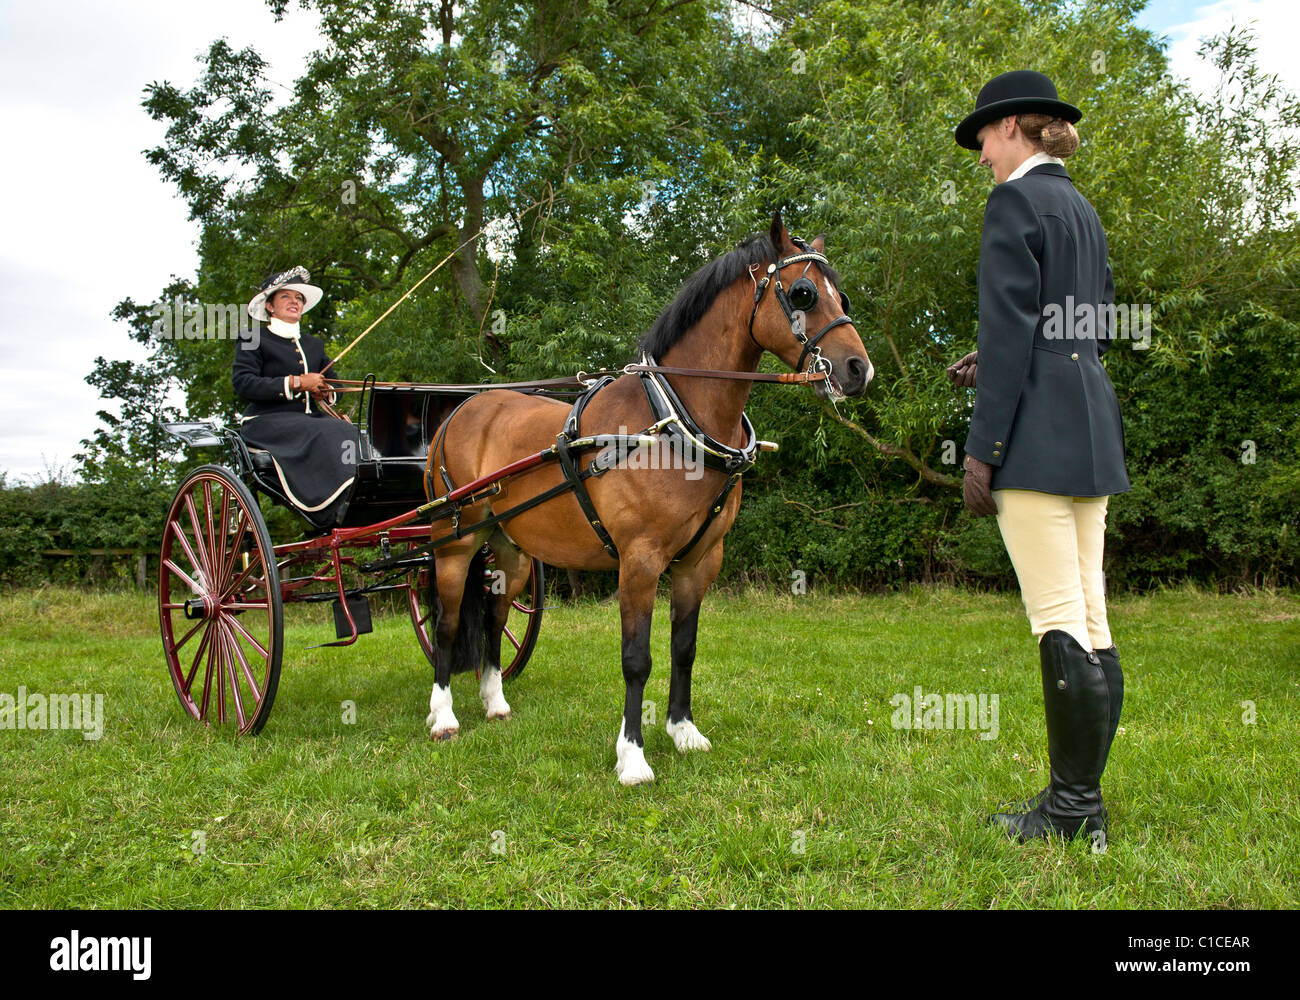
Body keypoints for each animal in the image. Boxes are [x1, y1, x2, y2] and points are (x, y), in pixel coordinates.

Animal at [422, 213, 873, 784]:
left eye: (843, 295)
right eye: (804, 293)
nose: (858, 369)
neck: (673, 422)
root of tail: (459, 411)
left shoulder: (699, 562)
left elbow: (684, 648)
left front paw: (683, 730)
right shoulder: (639, 560)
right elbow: (636, 659)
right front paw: (632, 756)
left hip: (512, 551)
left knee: (496, 619)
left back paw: (494, 701)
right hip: (454, 542)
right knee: (445, 622)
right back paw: (442, 716)